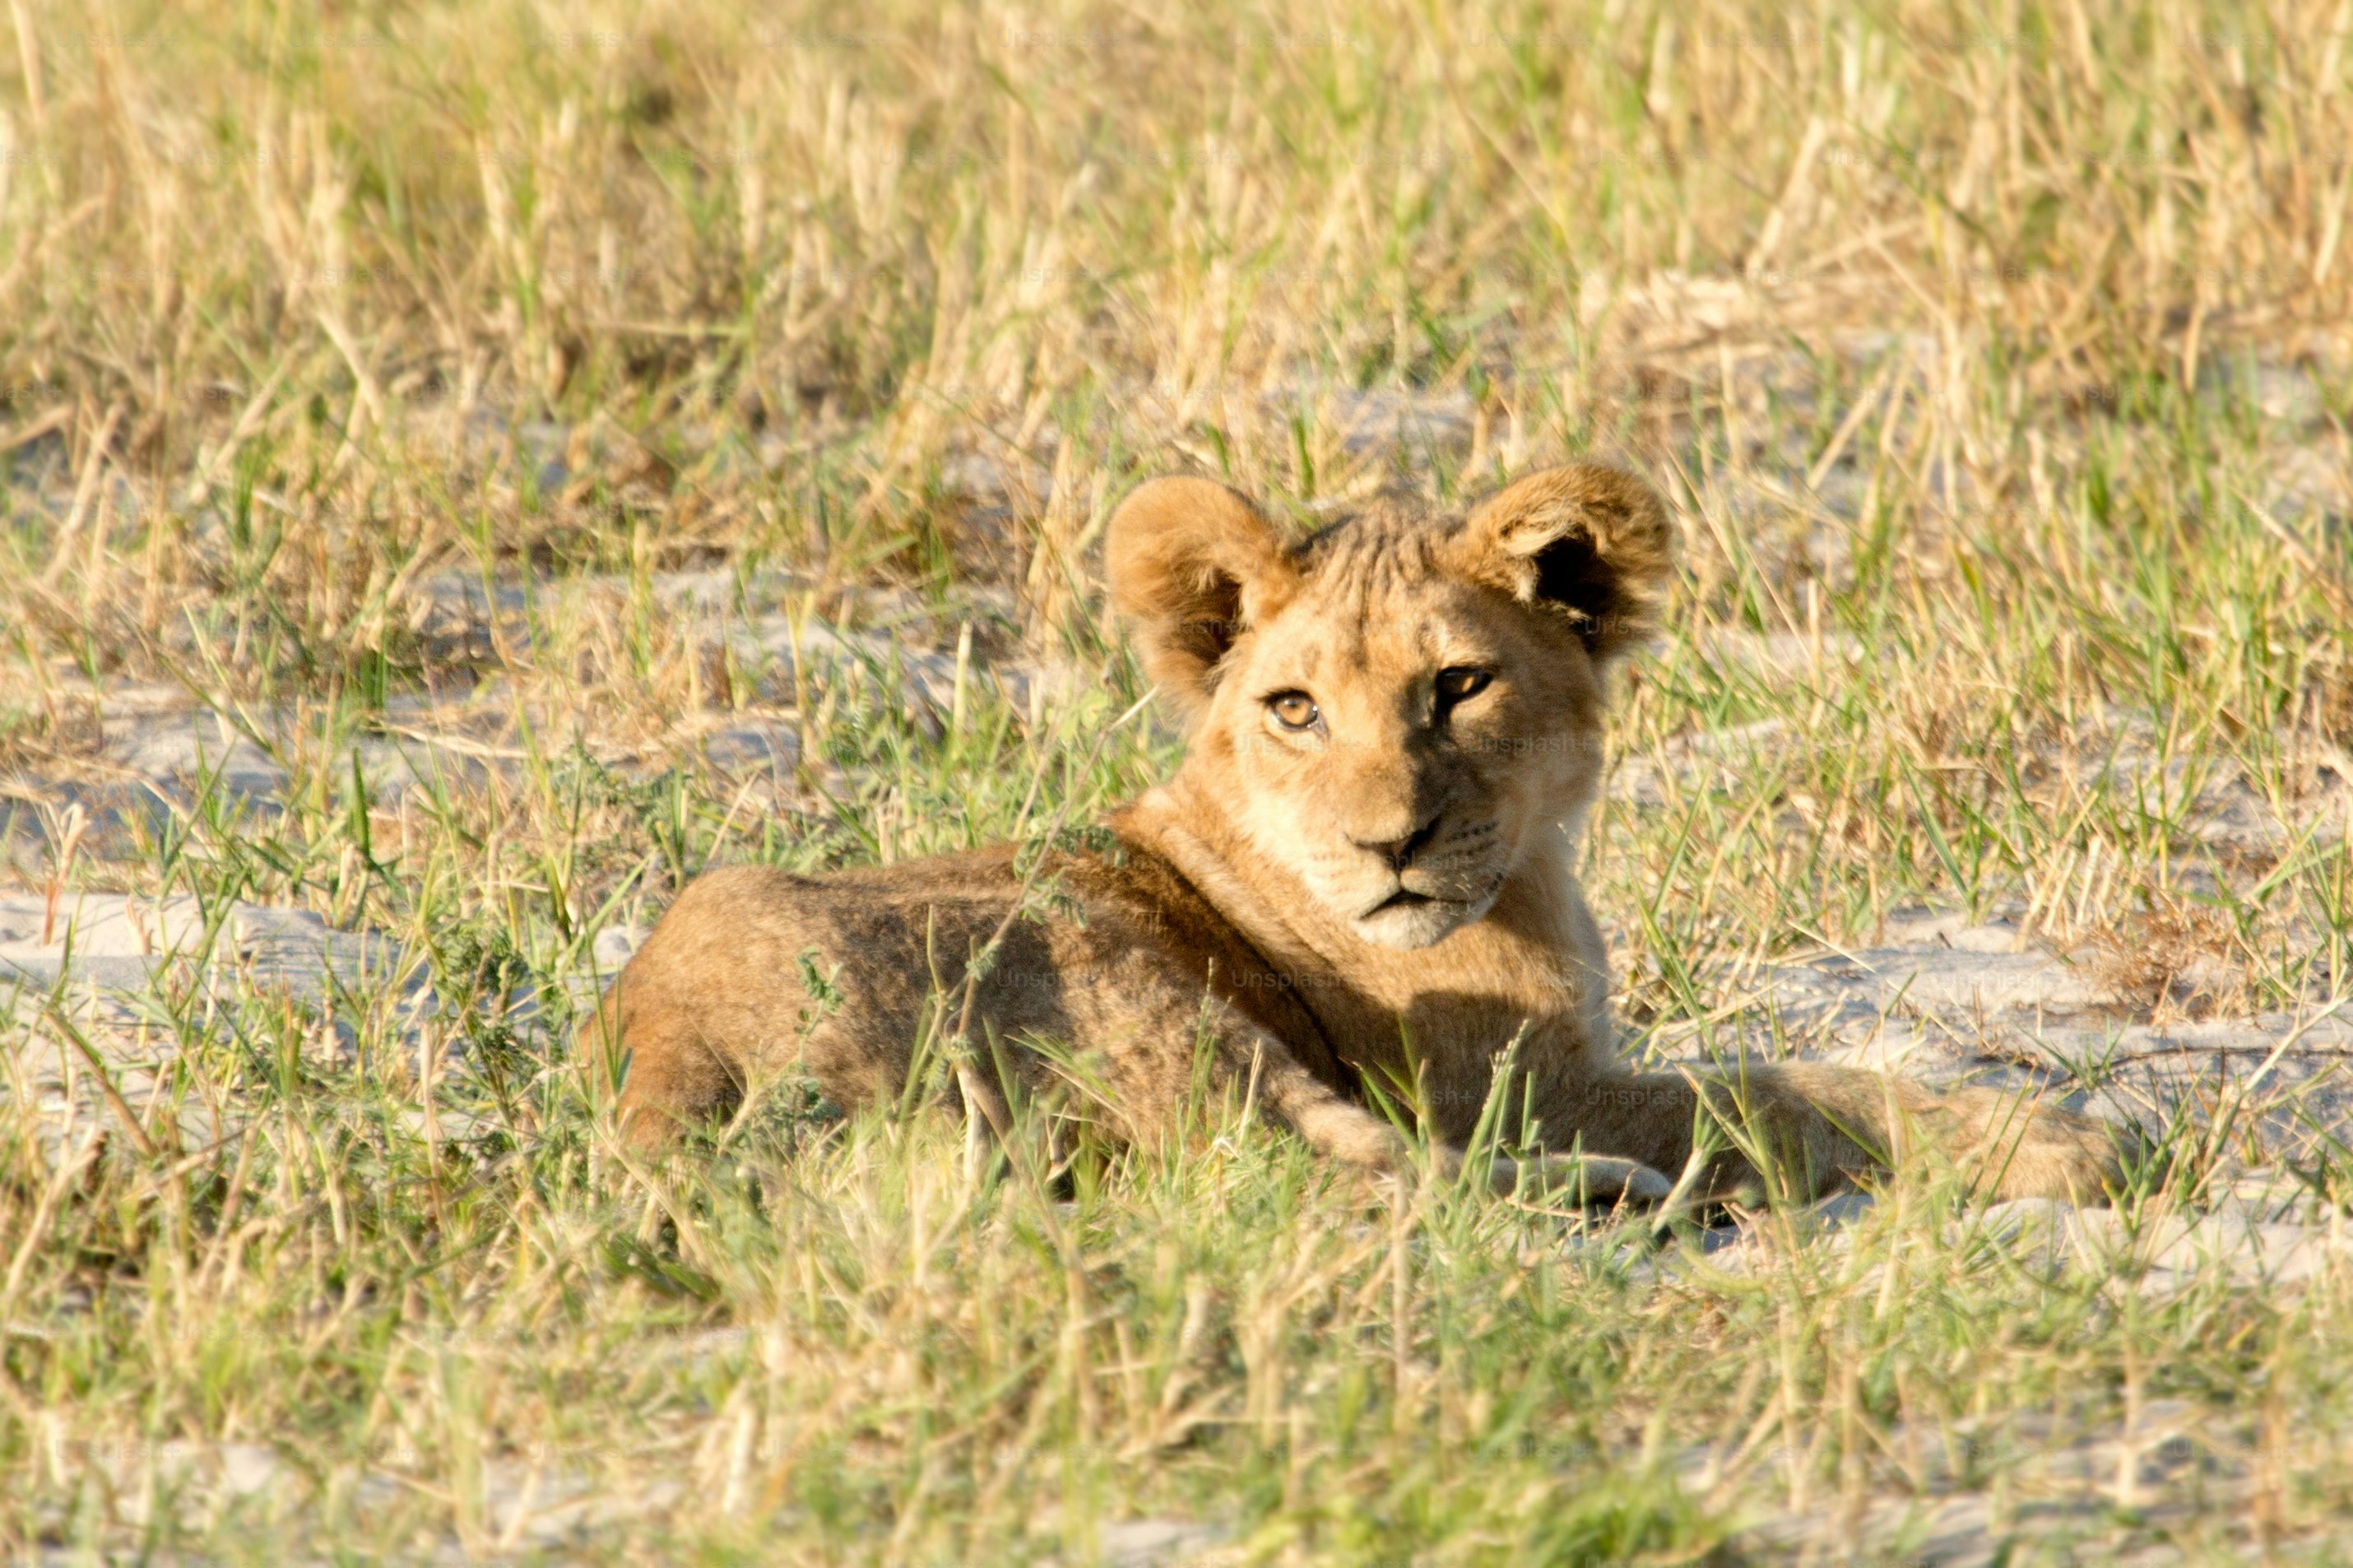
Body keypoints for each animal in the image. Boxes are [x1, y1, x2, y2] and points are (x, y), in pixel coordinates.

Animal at [592, 464, 2125, 1206]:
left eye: (1460, 685)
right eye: (1295, 708)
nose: (1394, 847)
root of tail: (666, 1044)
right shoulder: (1497, 1085)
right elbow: (1777, 1091)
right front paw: (2051, 1144)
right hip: (1136, 995)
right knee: (1328, 1182)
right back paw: (1621, 1194)